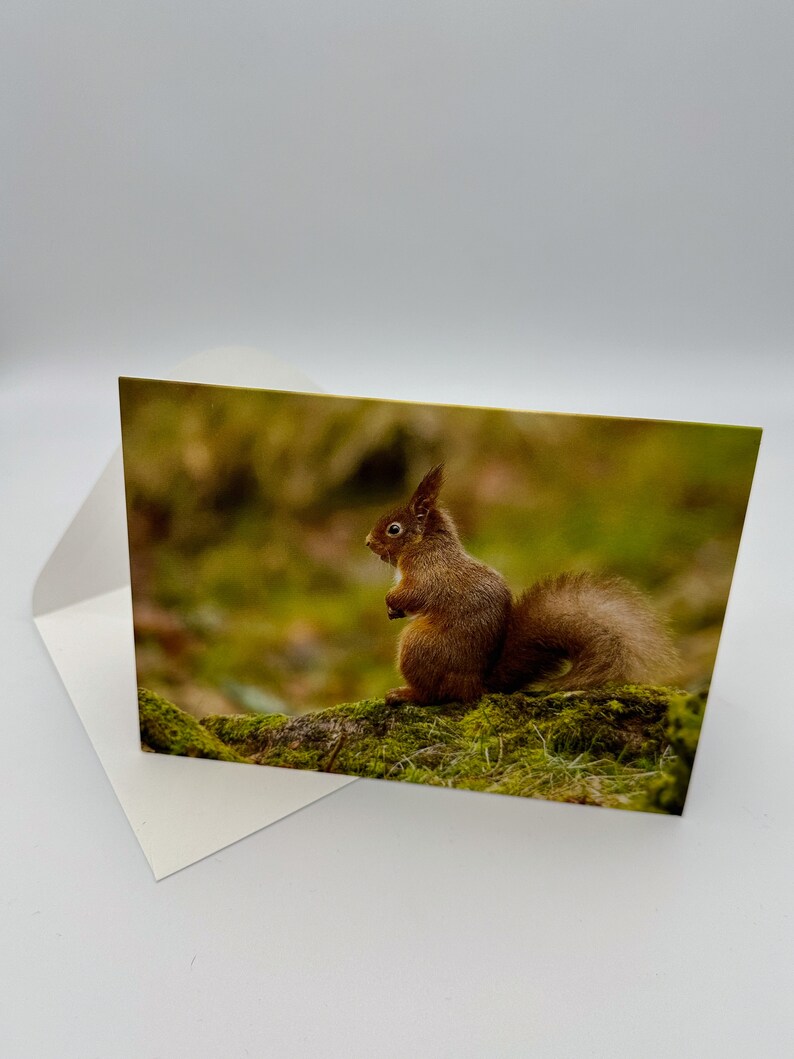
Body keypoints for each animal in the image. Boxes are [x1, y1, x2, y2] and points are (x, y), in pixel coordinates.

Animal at [365, 464, 677, 706]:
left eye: (394, 529)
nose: (367, 542)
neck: (425, 544)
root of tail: (475, 685)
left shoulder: (429, 572)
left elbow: (415, 594)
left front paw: (391, 602)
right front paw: (392, 610)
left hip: (417, 646)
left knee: (433, 695)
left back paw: (405, 694)